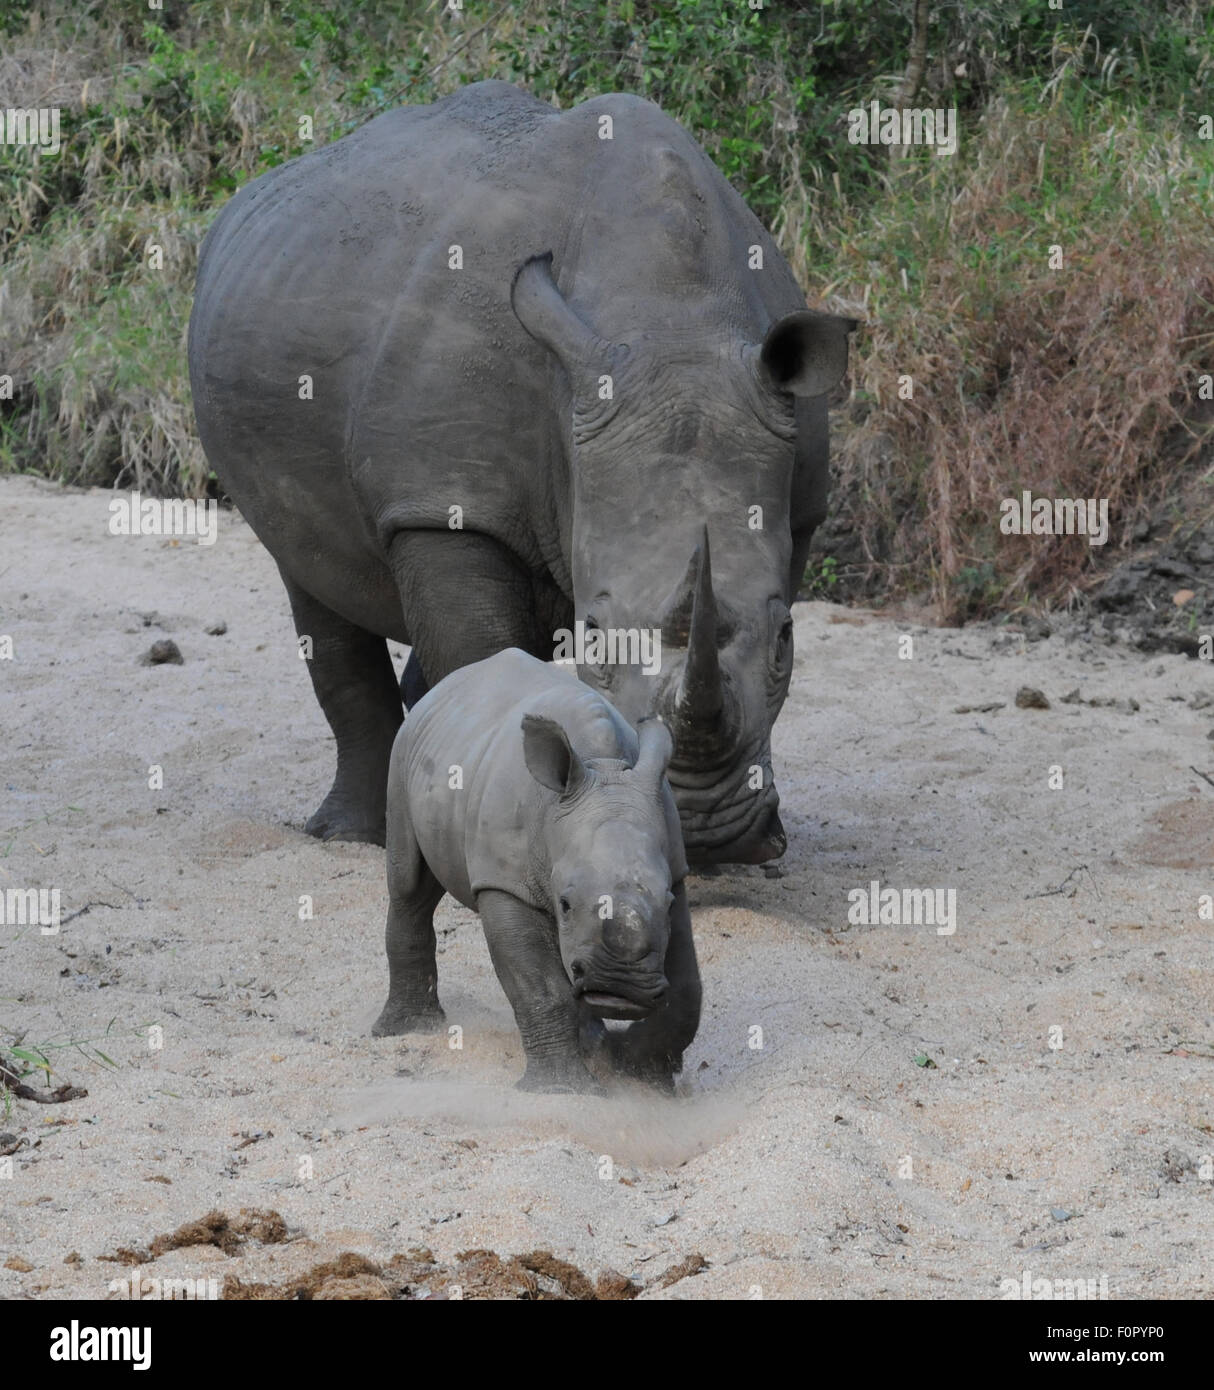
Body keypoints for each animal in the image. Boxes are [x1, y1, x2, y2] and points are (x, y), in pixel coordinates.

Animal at [188, 80, 855, 865]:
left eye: (788, 639)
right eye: (593, 632)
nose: (706, 833)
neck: (673, 321)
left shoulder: (798, 504)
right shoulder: (444, 501)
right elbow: (480, 649)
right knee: (311, 580)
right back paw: (352, 836)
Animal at [372, 648, 700, 1093]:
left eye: (666, 902)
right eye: (564, 904)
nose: (620, 989)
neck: (603, 764)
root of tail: (445, 687)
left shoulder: (675, 869)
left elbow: (685, 987)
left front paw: (641, 1075)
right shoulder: (506, 882)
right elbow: (542, 987)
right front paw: (563, 1090)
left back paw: (595, 1044)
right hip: (405, 751)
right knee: (409, 884)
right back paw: (407, 1029)